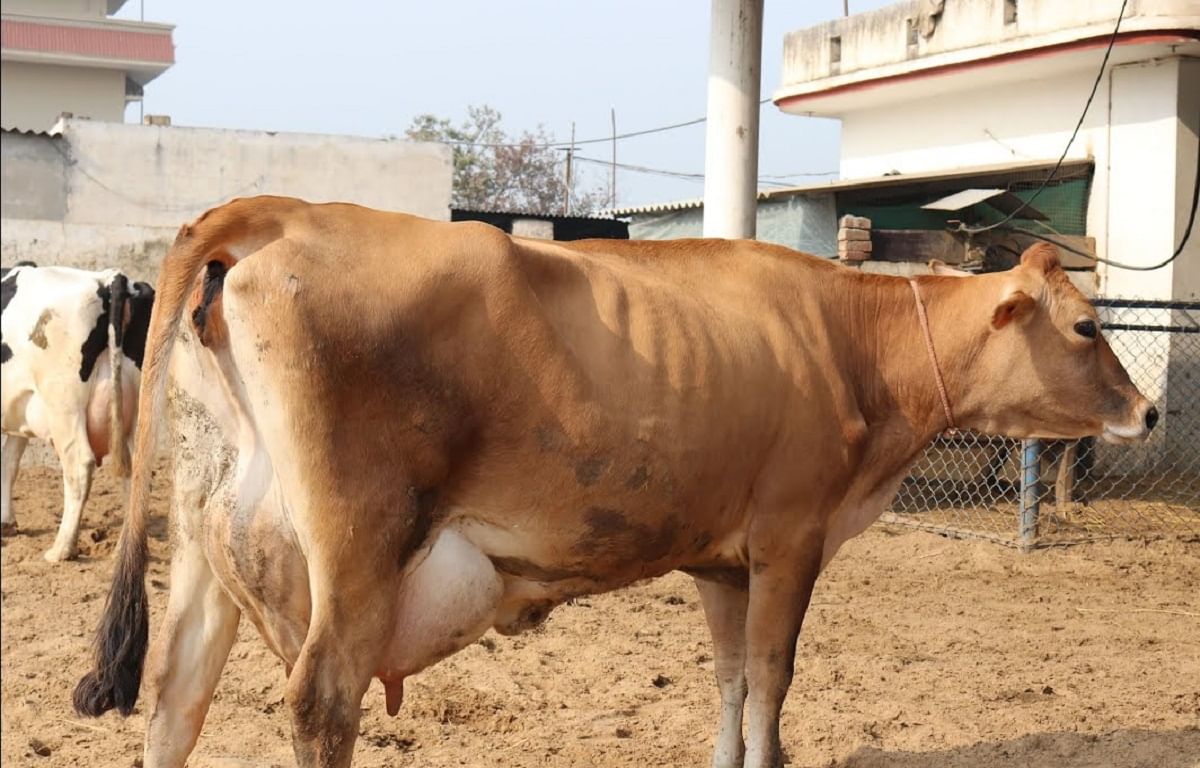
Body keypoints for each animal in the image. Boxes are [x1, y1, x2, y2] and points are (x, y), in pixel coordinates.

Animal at [1, 262, 155, 561]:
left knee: (79, 468)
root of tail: (109, 278)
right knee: (134, 472)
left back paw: (60, 549)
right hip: (133, 411)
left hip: (63, 405)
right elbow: (9, 463)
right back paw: (124, 549)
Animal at [74, 196, 1155, 768]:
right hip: (358, 549)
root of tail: (281, 215)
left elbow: (731, 679)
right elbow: (773, 680)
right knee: (320, 698)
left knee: (175, 693)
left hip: (209, 538)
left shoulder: (723, 559)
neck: (846, 340)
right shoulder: (792, 536)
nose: (1146, 413)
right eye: (1086, 325)